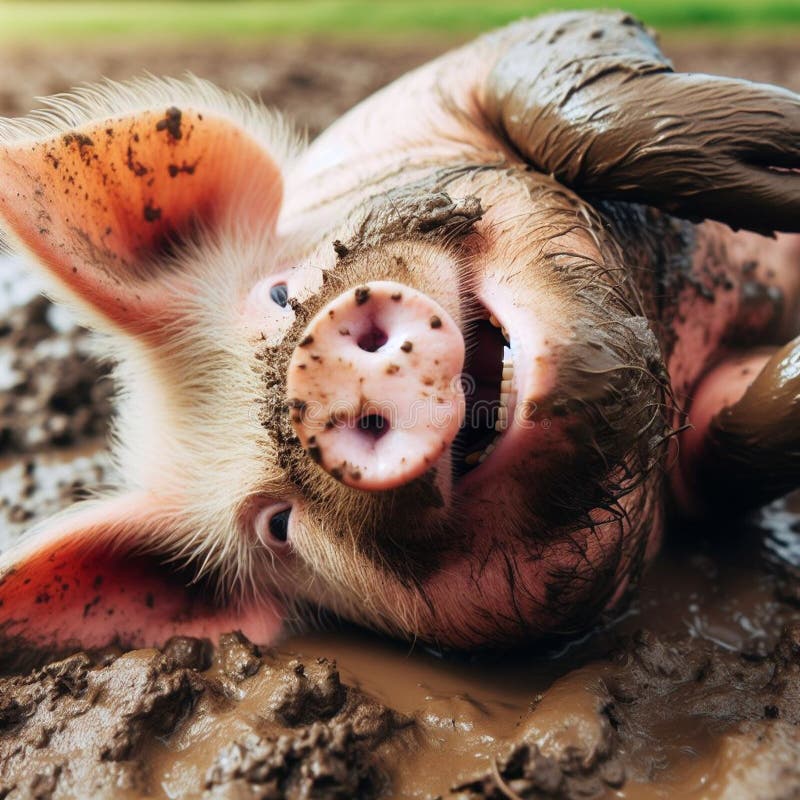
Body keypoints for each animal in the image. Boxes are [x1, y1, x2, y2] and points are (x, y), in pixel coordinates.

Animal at [0, 10, 799, 656]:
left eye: (279, 292)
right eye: (277, 527)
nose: (317, 379)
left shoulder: (469, 66)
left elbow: (571, 96)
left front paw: (778, 154)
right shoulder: (697, 463)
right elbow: (747, 437)